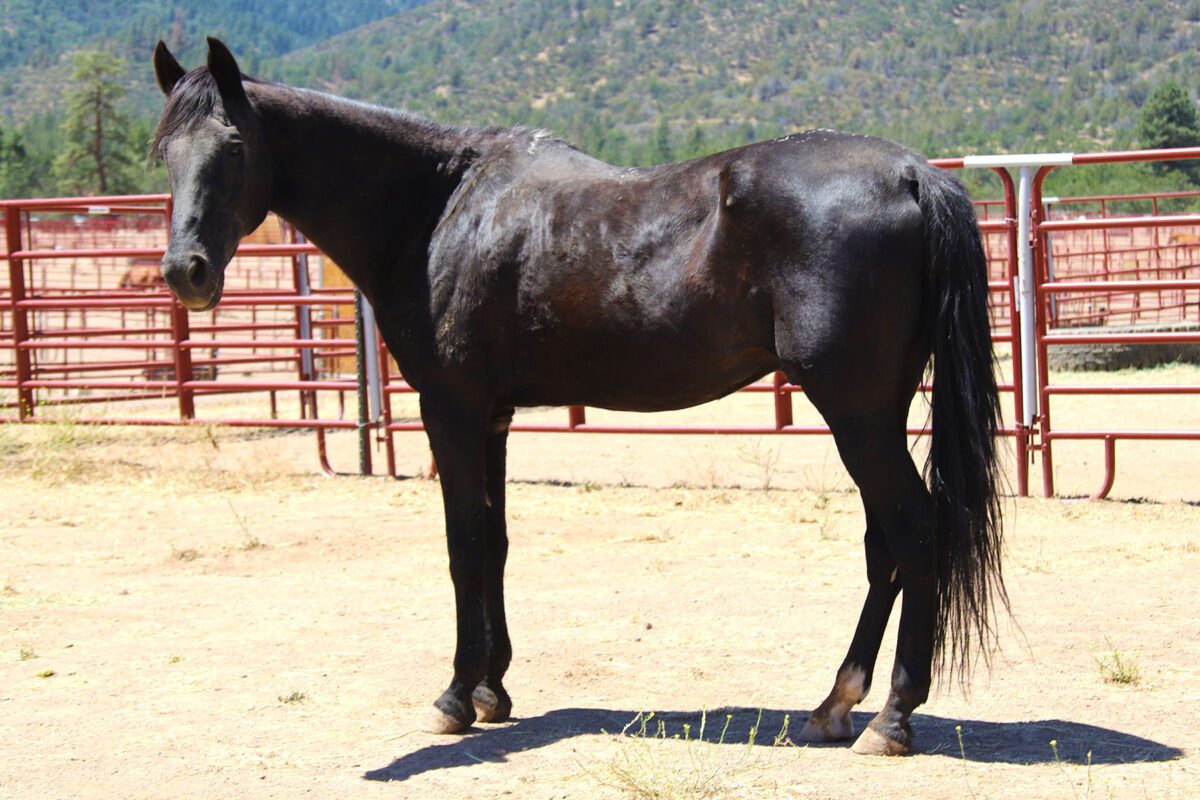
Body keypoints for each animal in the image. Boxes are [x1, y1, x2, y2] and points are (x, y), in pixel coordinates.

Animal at [151, 38, 1005, 756]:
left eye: (234, 146)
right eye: (165, 153)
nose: (186, 272)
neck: (438, 208)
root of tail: (912, 174)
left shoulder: (449, 411)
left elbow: (464, 546)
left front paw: (455, 696)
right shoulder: (491, 418)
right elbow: (494, 543)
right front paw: (493, 689)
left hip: (855, 411)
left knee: (914, 532)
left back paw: (891, 719)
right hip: (873, 411)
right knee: (883, 548)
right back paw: (833, 707)